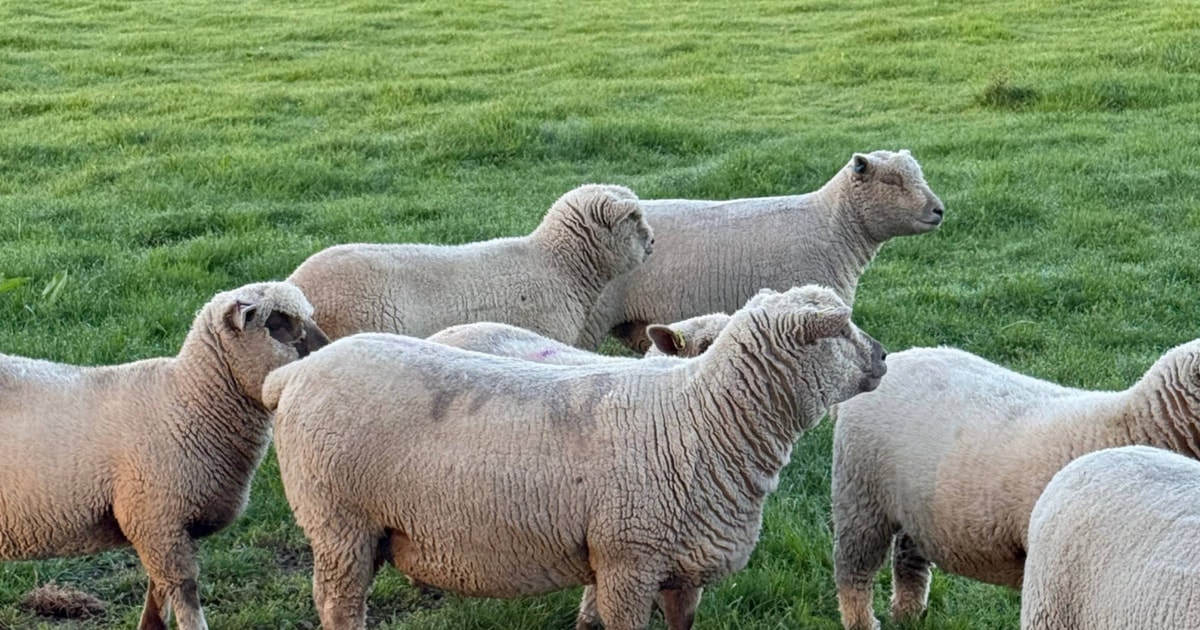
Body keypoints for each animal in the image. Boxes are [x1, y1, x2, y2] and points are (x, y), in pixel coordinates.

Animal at [0, 282, 329, 630]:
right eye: (277, 322)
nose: (330, 350)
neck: (188, 401)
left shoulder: (163, 528)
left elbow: (157, 597)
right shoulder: (158, 520)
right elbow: (184, 593)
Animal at [265, 285, 888, 630]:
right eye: (838, 331)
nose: (884, 355)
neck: (700, 416)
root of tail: (292, 375)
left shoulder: (683, 562)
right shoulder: (626, 560)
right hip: (338, 520)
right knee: (338, 605)